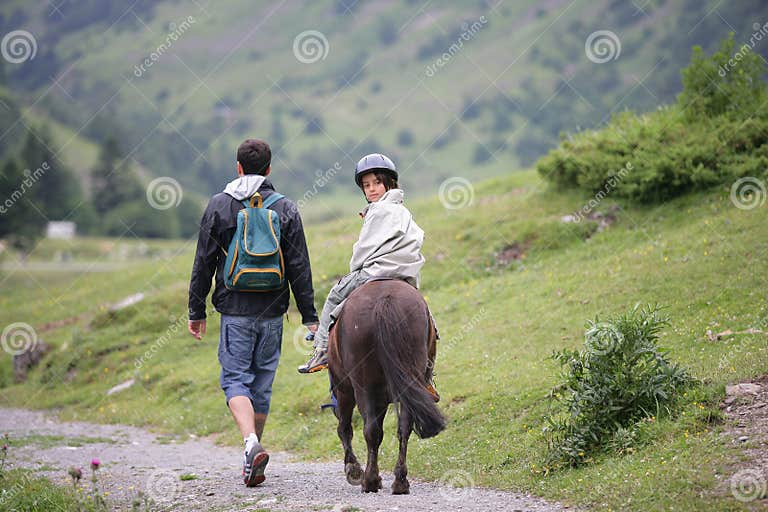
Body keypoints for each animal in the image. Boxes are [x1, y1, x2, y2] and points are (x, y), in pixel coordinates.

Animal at [327, 279, 446, 494]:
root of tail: (385, 300)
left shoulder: (344, 389)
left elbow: (345, 428)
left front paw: (353, 470)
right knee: (404, 427)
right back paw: (400, 481)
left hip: (362, 386)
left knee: (369, 429)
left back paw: (370, 480)